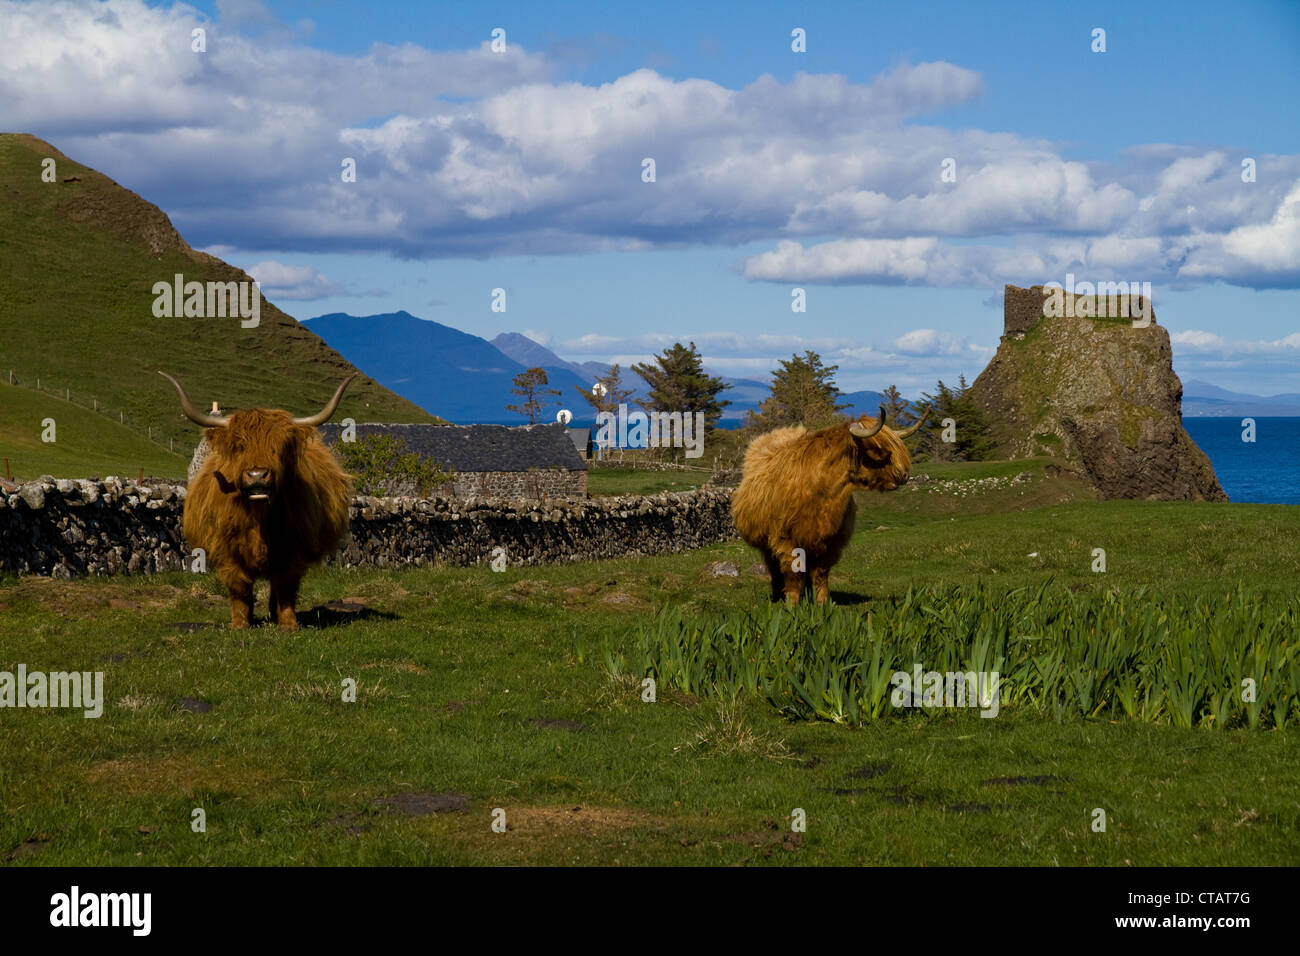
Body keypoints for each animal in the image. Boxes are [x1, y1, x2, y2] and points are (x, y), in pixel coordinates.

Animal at [160, 371, 355, 630]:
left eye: (279, 448)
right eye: (238, 446)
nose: (257, 475)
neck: (258, 517)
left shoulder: (294, 550)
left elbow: (285, 587)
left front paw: (288, 624)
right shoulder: (226, 551)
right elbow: (239, 588)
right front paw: (240, 624)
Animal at [730, 406, 928, 606]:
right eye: (878, 449)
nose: (904, 474)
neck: (826, 492)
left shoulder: (831, 541)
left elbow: (820, 574)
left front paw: (822, 604)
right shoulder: (786, 539)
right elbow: (792, 574)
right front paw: (792, 605)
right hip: (766, 544)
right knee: (775, 570)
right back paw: (779, 596)